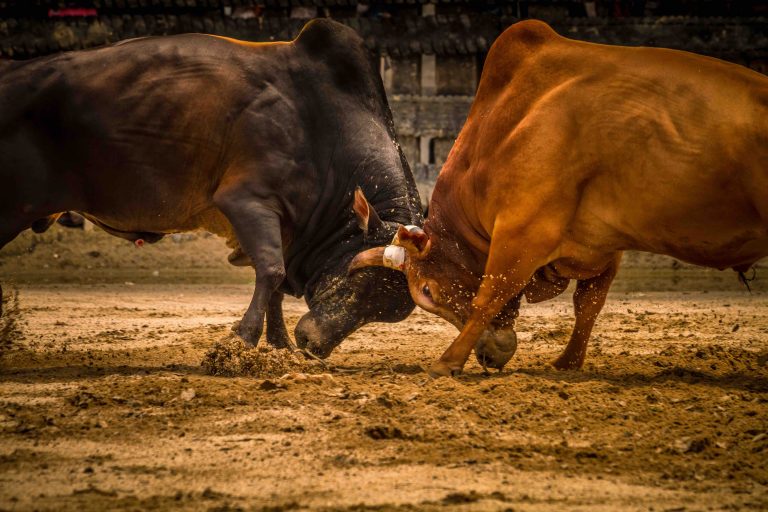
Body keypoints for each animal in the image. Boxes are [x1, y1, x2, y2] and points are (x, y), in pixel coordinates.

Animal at [0, 19, 423, 358]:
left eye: (384, 313)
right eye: (359, 279)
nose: (314, 346)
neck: (324, 133)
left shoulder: (287, 226)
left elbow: (275, 285)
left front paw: (279, 344)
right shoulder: (248, 201)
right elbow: (271, 270)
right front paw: (241, 340)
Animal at [350, 19, 768, 377]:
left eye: (426, 291)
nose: (489, 355)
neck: (501, 134)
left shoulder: (522, 232)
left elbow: (489, 294)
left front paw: (447, 362)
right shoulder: (601, 246)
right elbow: (588, 305)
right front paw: (567, 363)